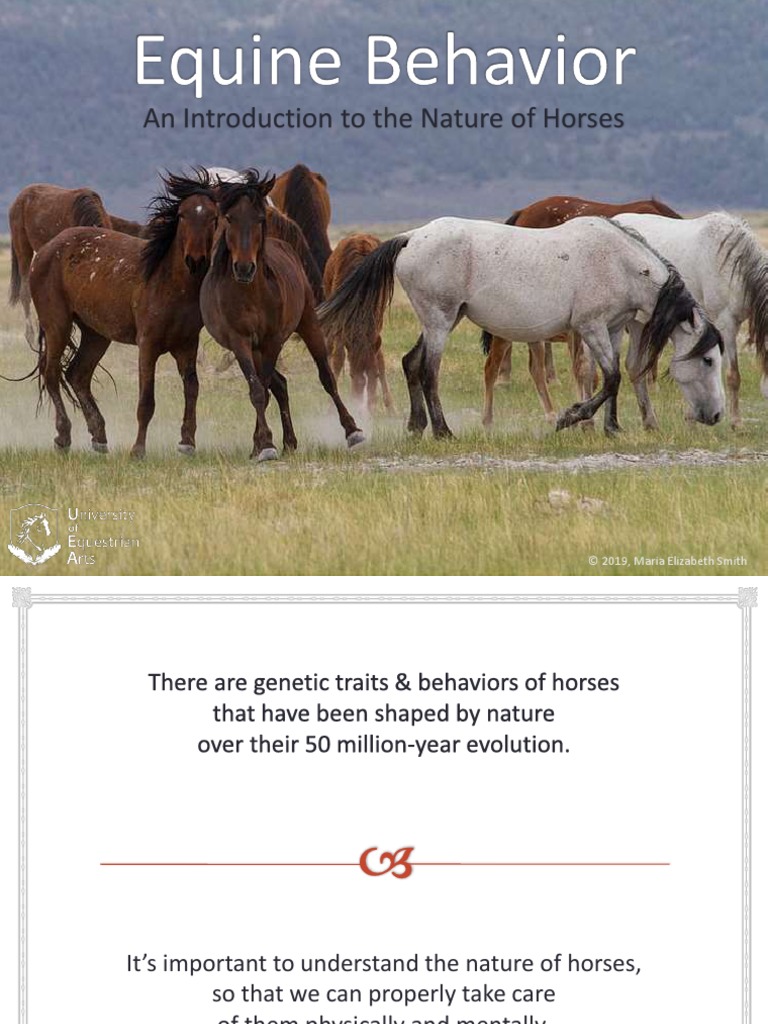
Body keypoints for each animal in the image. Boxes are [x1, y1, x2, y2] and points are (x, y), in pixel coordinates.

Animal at [27, 169, 219, 456]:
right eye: (183, 214)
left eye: (214, 217)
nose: (195, 260)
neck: (169, 283)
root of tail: (45, 251)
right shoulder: (148, 345)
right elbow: (146, 401)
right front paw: (138, 450)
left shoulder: (187, 345)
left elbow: (192, 390)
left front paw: (187, 443)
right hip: (57, 325)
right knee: (52, 374)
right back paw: (63, 436)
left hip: (96, 334)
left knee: (77, 375)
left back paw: (99, 436)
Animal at [199, 170, 364, 461]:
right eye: (228, 217)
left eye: (259, 218)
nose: (244, 268)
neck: (250, 293)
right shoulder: (240, 342)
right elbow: (257, 390)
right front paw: (263, 443)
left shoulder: (272, 340)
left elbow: (264, 389)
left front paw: (264, 442)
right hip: (255, 349)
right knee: (279, 384)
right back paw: (287, 441)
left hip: (308, 325)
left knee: (326, 377)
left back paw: (351, 430)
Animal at [323, 234, 394, 413]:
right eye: (351, 374)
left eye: (375, 375)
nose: (368, 407)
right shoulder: (341, 326)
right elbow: (338, 359)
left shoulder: (376, 326)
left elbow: (380, 359)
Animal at [612, 211, 768, 429]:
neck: (734, 265)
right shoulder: (726, 323)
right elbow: (733, 376)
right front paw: (737, 423)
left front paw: (690, 417)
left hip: (641, 323)